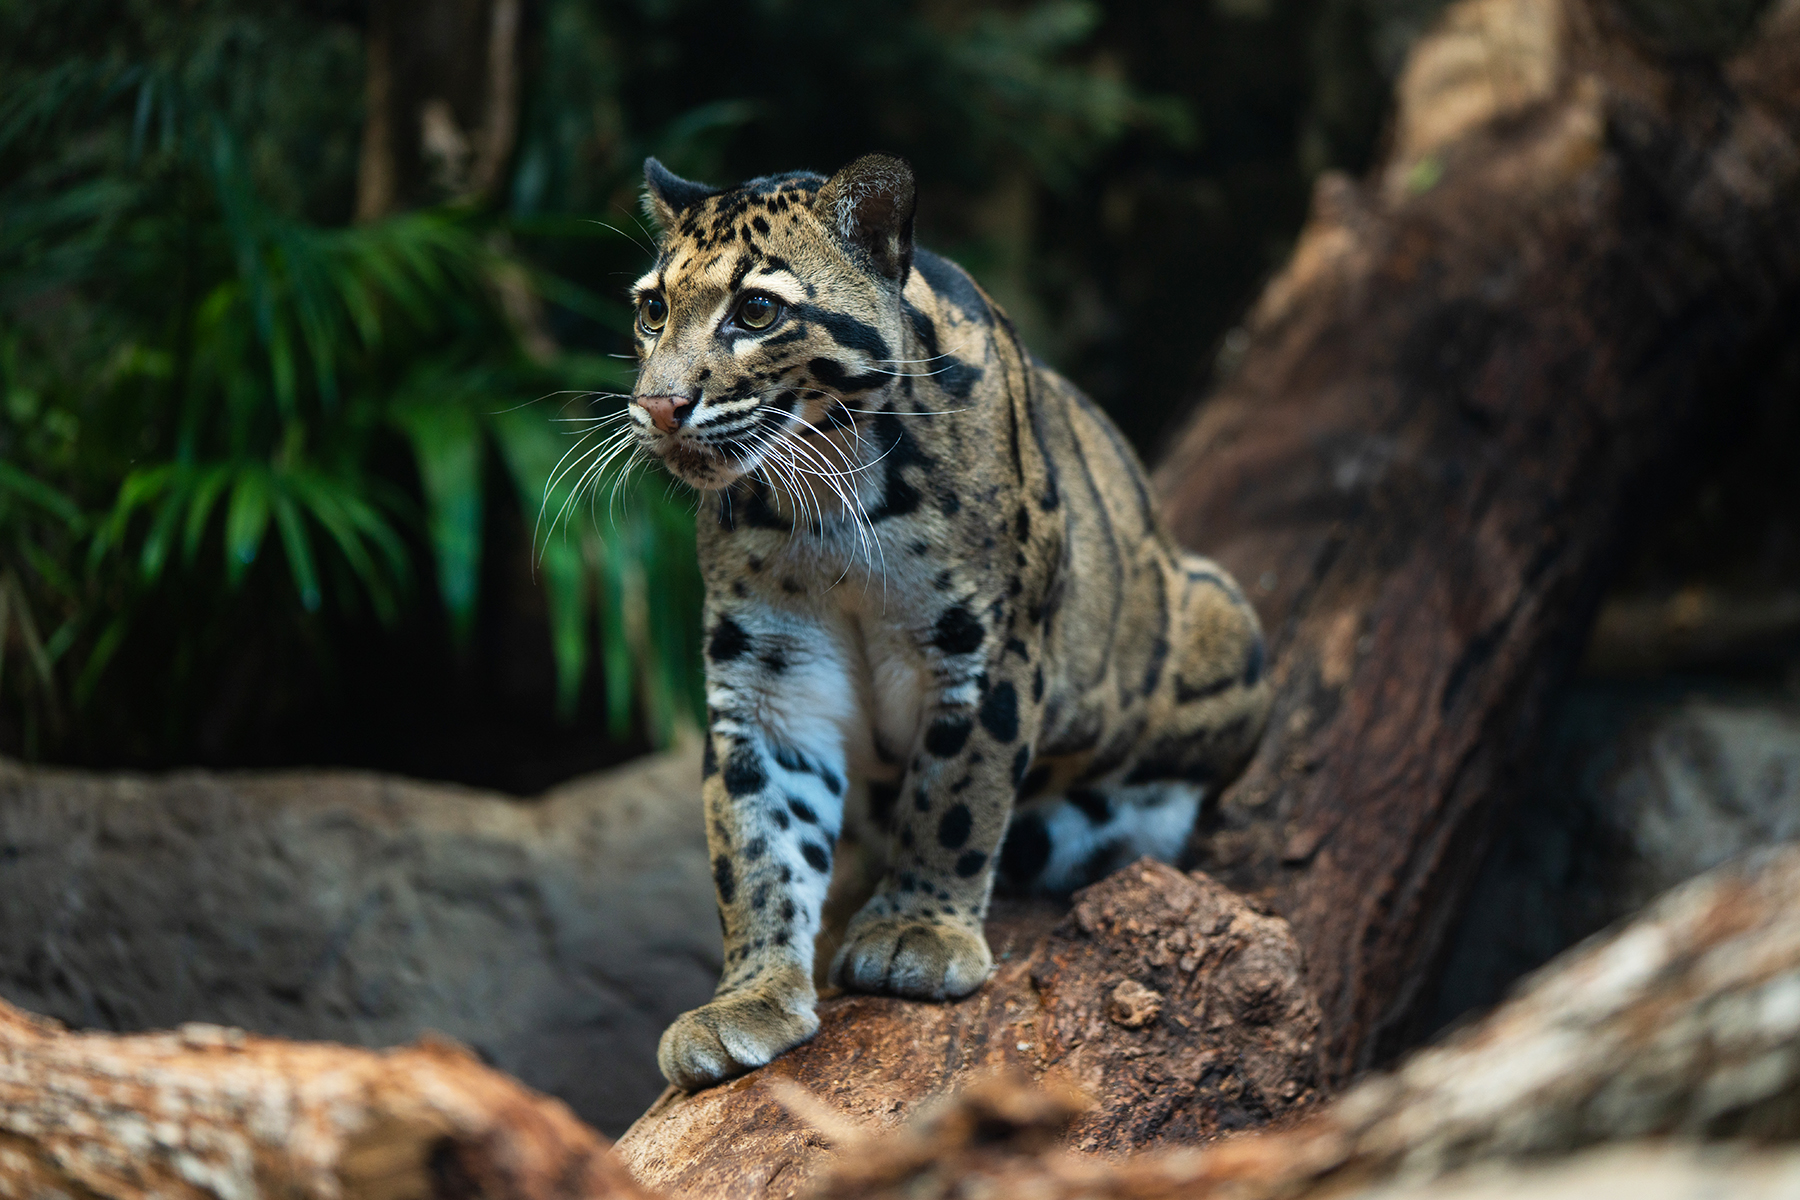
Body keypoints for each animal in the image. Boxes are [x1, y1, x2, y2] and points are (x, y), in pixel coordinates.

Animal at [618, 153, 1272, 1091]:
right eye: (651, 310)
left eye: (757, 311)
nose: (660, 407)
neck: (828, 504)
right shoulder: (766, 674)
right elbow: (754, 838)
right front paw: (750, 994)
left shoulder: (985, 647)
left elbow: (956, 795)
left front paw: (917, 931)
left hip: (1223, 614)